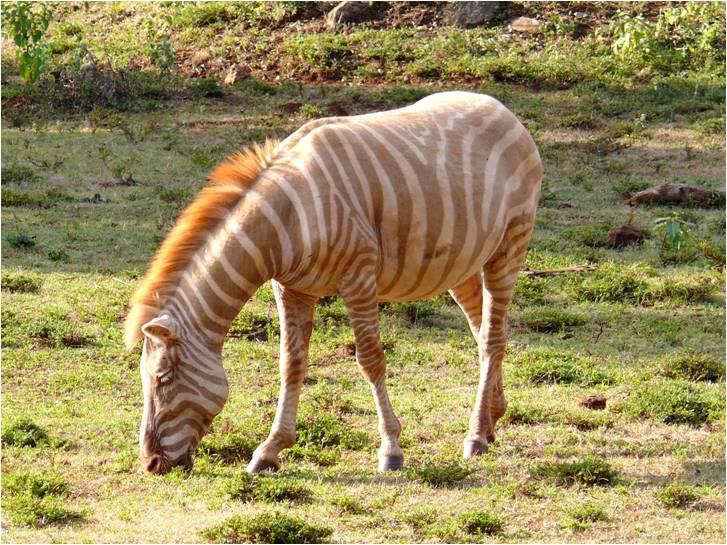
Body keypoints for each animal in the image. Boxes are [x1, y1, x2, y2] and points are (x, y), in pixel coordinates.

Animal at [124, 91, 543, 475]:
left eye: (162, 379)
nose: (152, 464)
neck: (291, 216)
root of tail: (500, 107)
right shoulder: (291, 288)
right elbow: (291, 364)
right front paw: (271, 449)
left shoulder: (359, 278)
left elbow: (370, 360)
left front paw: (391, 449)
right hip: (461, 264)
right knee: (481, 329)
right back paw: (492, 416)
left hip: (511, 245)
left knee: (493, 337)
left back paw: (476, 435)